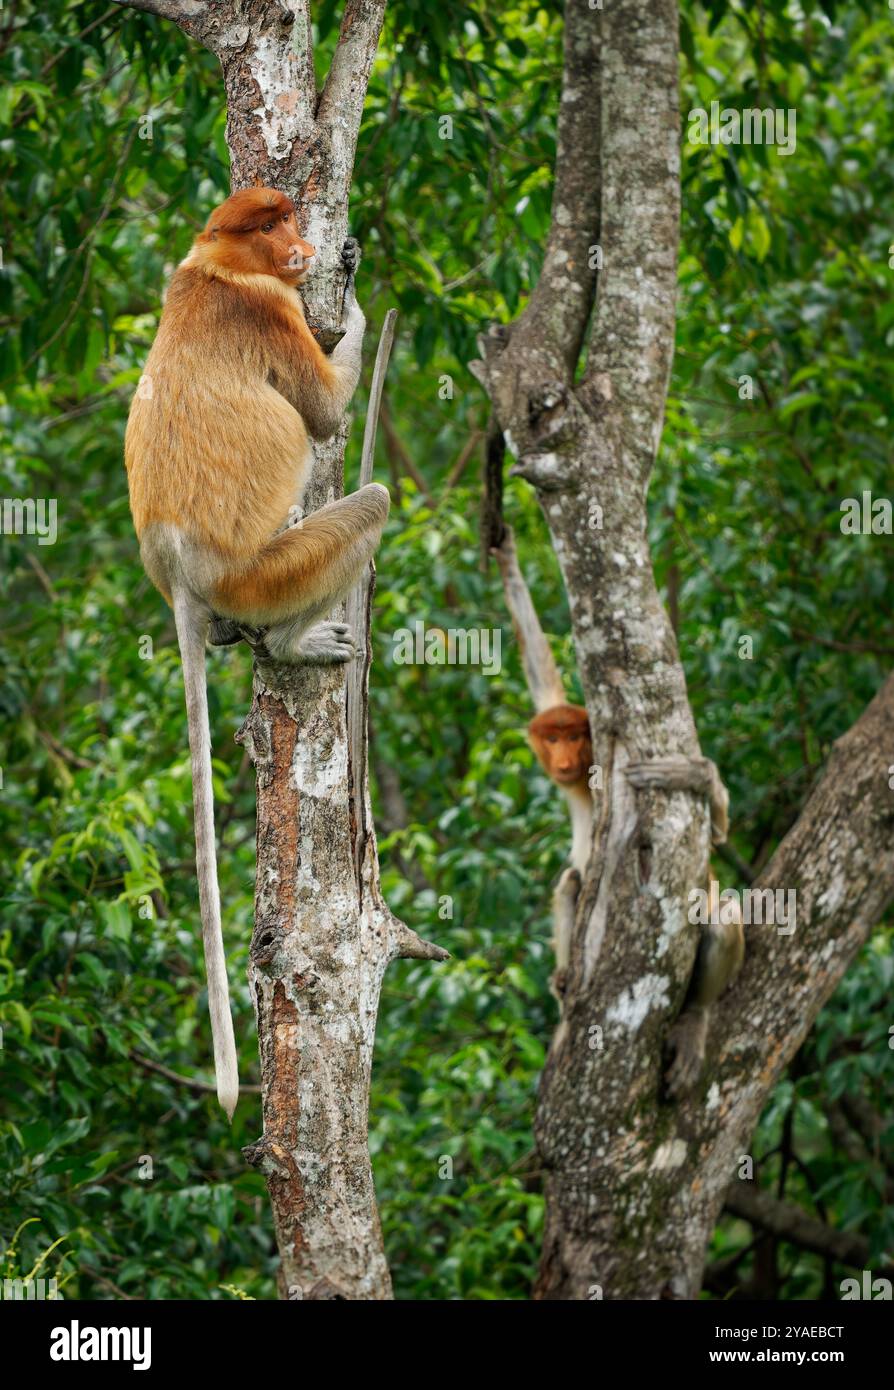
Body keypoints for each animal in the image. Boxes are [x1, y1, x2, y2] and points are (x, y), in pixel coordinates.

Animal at [124, 187, 390, 1119]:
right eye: (269, 225)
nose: (300, 246)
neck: (215, 266)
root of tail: (182, 571)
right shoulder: (270, 311)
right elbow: (327, 412)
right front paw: (352, 289)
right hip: (264, 573)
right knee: (367, 500)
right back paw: (296, 641)